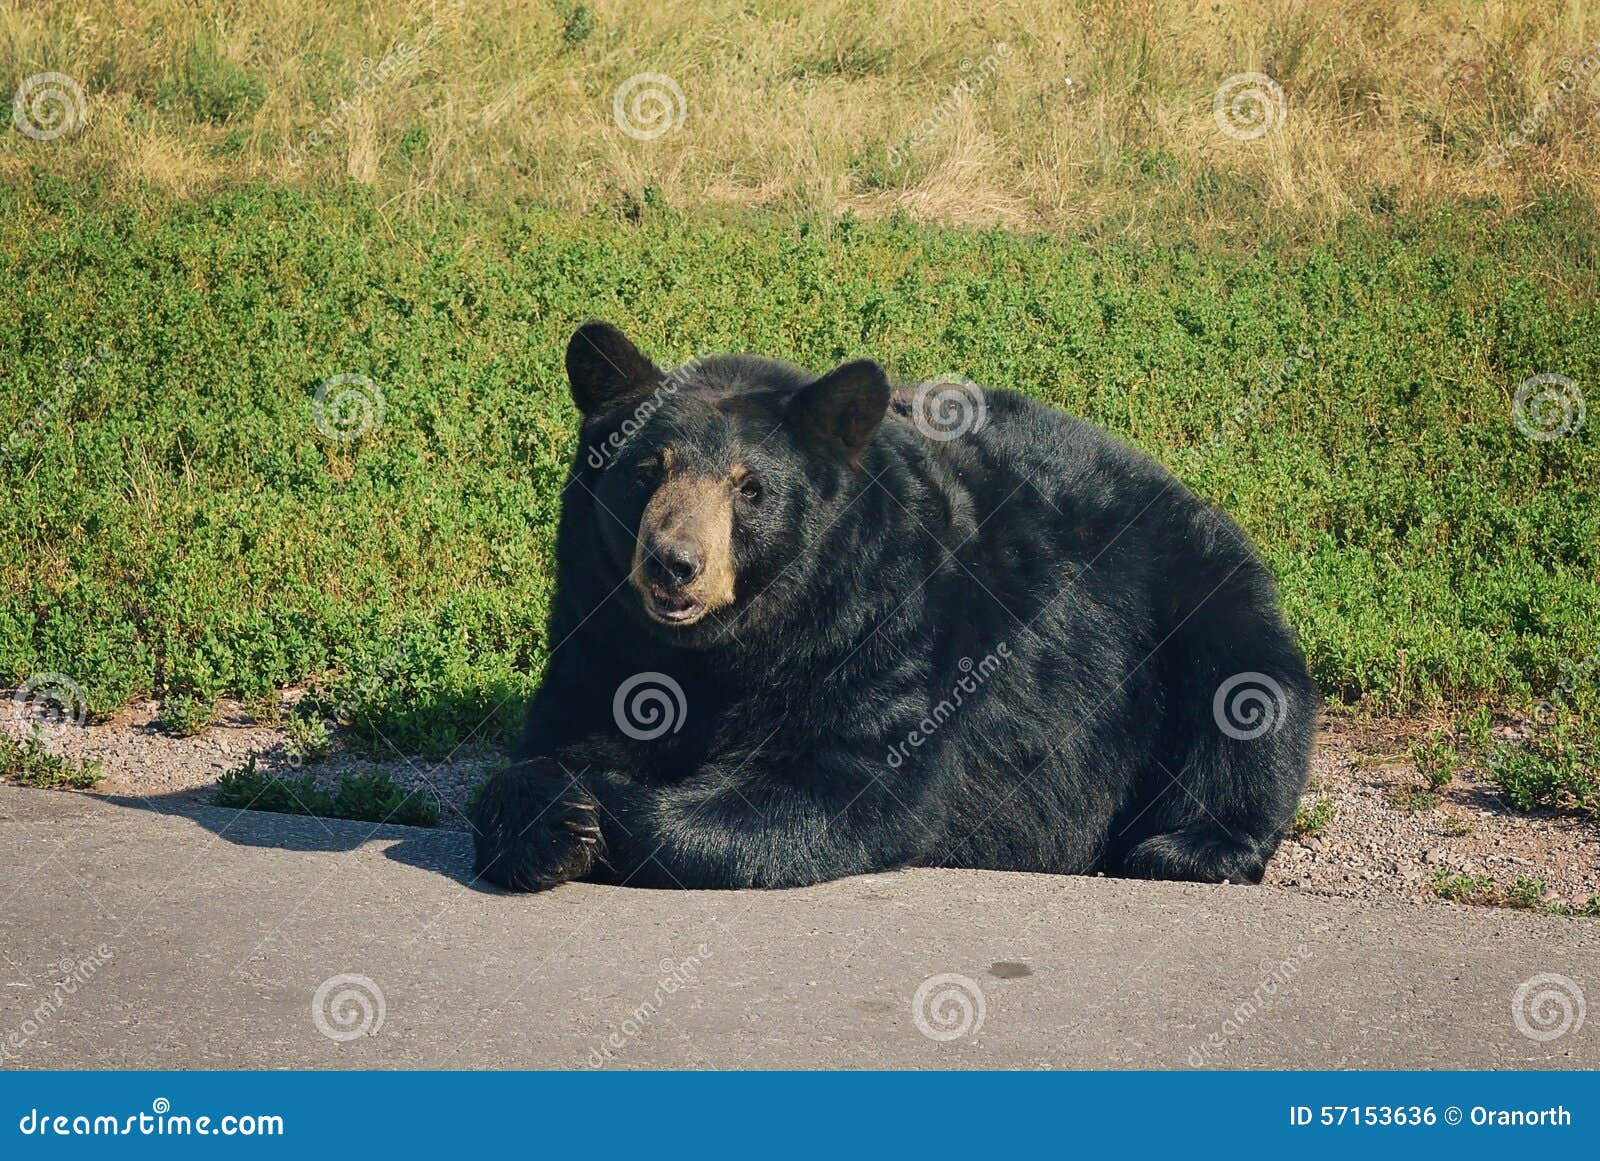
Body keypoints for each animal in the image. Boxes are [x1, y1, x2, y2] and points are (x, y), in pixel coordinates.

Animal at [470, 321, 1316, 892]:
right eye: (648, 468)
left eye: (751, 487)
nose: (673, 564)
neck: (736, 644)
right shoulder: (600, 624)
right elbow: (562, 733)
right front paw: (553, 817)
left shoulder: (889, 629)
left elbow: (835, 786)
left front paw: (610, 810)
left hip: (1197, 602)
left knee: (1245, 707)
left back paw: (1183, 847)